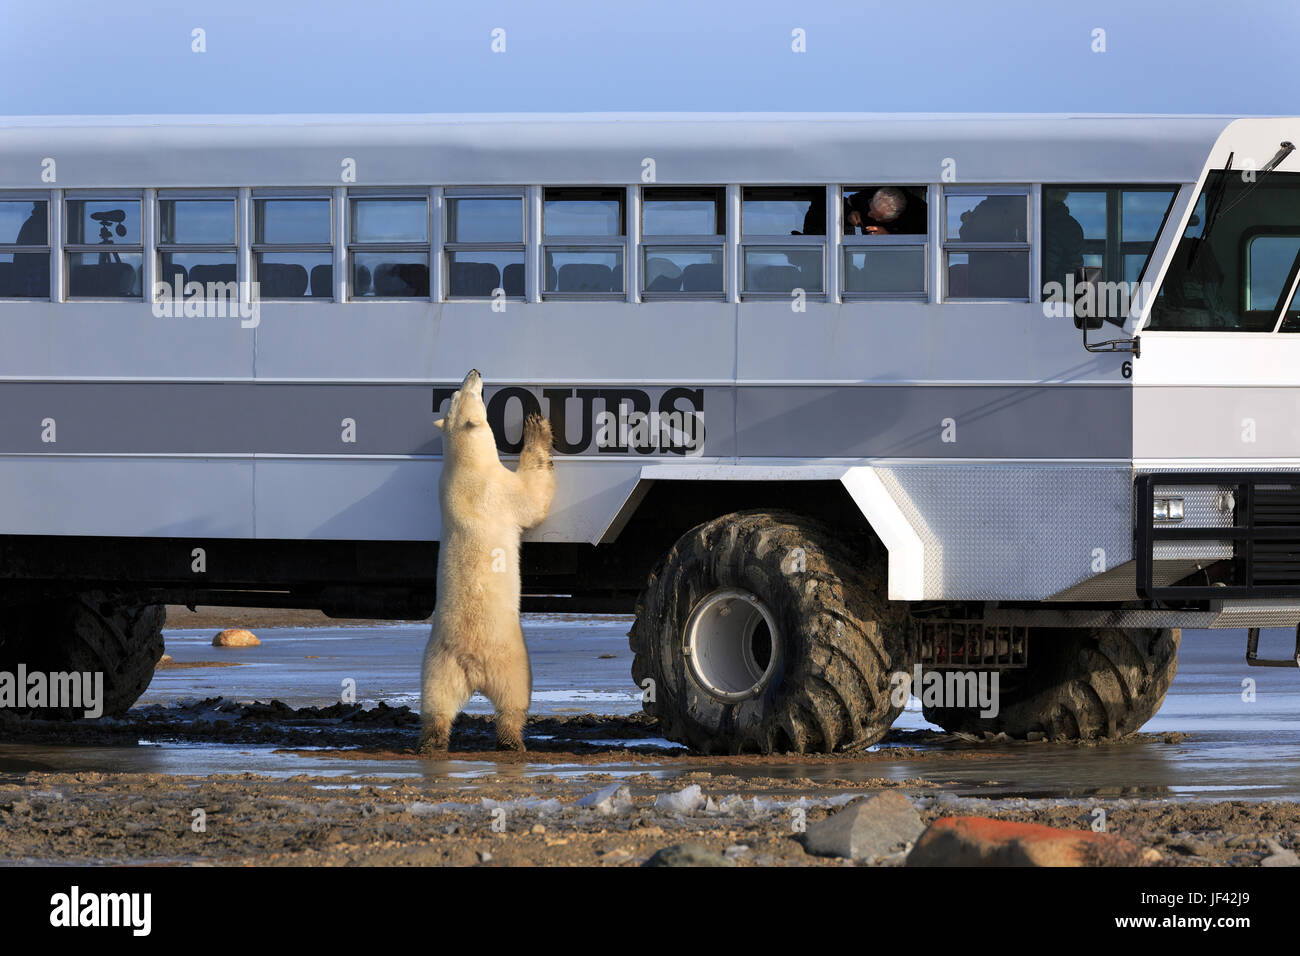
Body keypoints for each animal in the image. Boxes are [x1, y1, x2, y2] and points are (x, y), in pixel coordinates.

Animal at [419, 368, 556, 753]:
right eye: (467, 393)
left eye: (454, 393)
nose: (475, 371)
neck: (464, 466)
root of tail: (472, 665)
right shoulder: (497, 490)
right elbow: (533, 496)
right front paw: (536, 426)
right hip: (509, 657)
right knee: (514, 697)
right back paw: (512, 740)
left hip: (437, 665)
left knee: (436, 702)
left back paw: (431, 741)